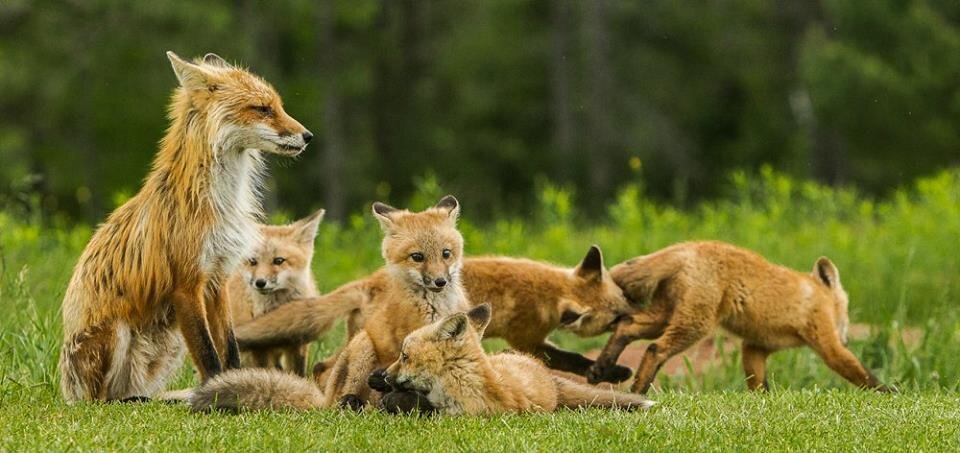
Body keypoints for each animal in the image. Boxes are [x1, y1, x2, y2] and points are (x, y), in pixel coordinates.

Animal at [58, 51, 312, 403]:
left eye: (279, 105)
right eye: (263, 108)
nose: (308, 136)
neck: (218, 203)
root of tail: (68, 390)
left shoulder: (218, 278)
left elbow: (230, 350)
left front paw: (238, 386)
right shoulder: (187, 284)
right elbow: (209, 354)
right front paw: (218, 395)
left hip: (170, 343)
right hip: (117, 333)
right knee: (103, 400)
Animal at [228, 209, 325, 376]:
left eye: (279, 261)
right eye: (253, 261)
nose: (260, 282)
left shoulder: (298, 346)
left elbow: (298, 374)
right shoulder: (259, 349)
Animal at [231, 246, 636, 384]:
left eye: (623, 302)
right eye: (615, 318)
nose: (636, 314)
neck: (545, 292)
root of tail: (370, 280)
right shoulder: (528, 340)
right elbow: (571, 359)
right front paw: (607, 372)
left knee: (322, 365)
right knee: (325, 366)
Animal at [586, 241, 891, 394]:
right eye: (847, 312)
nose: (847, 338)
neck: (817, 294)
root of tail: (686, 246)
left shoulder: (755, 347)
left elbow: (759, 386)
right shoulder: (826, 341)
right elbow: (861, 373)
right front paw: (888, 394)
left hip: (663, 317)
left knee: (626, 327)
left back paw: (602, 369)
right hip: (695, 325)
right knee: (654, 349)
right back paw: (637, 392)